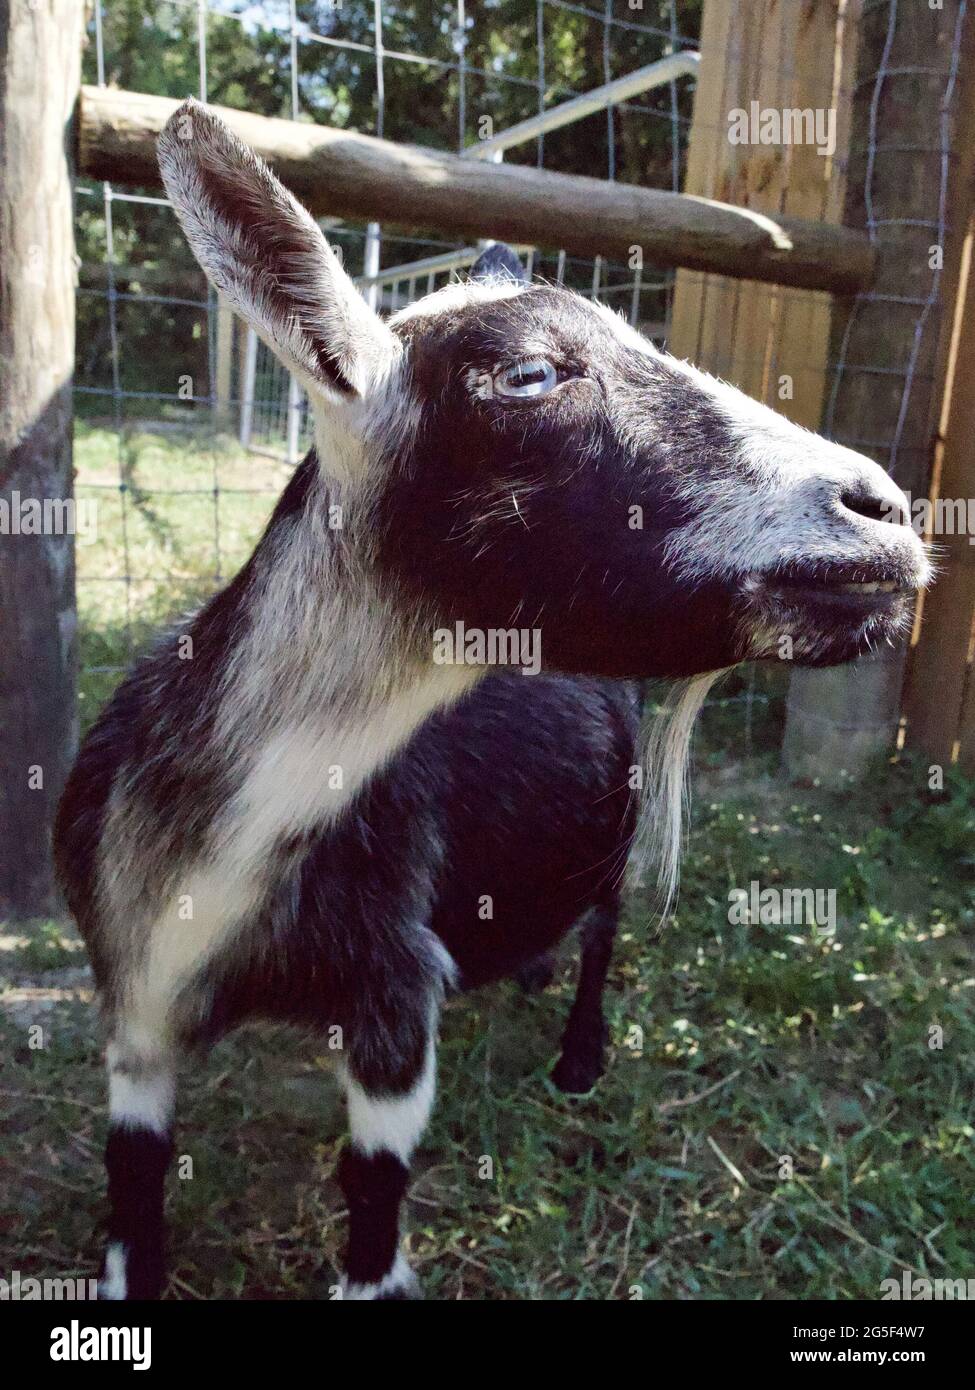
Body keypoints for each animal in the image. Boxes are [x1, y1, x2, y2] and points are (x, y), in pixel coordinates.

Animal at [54, 99, 929, 1301]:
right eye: (527, 375)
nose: (883, 512)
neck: (212, 885)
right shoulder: (132, 997)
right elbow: (132, 1200)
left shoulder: (392, 988)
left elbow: (373, 1191)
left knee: (605, 927)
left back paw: (579, 1051)